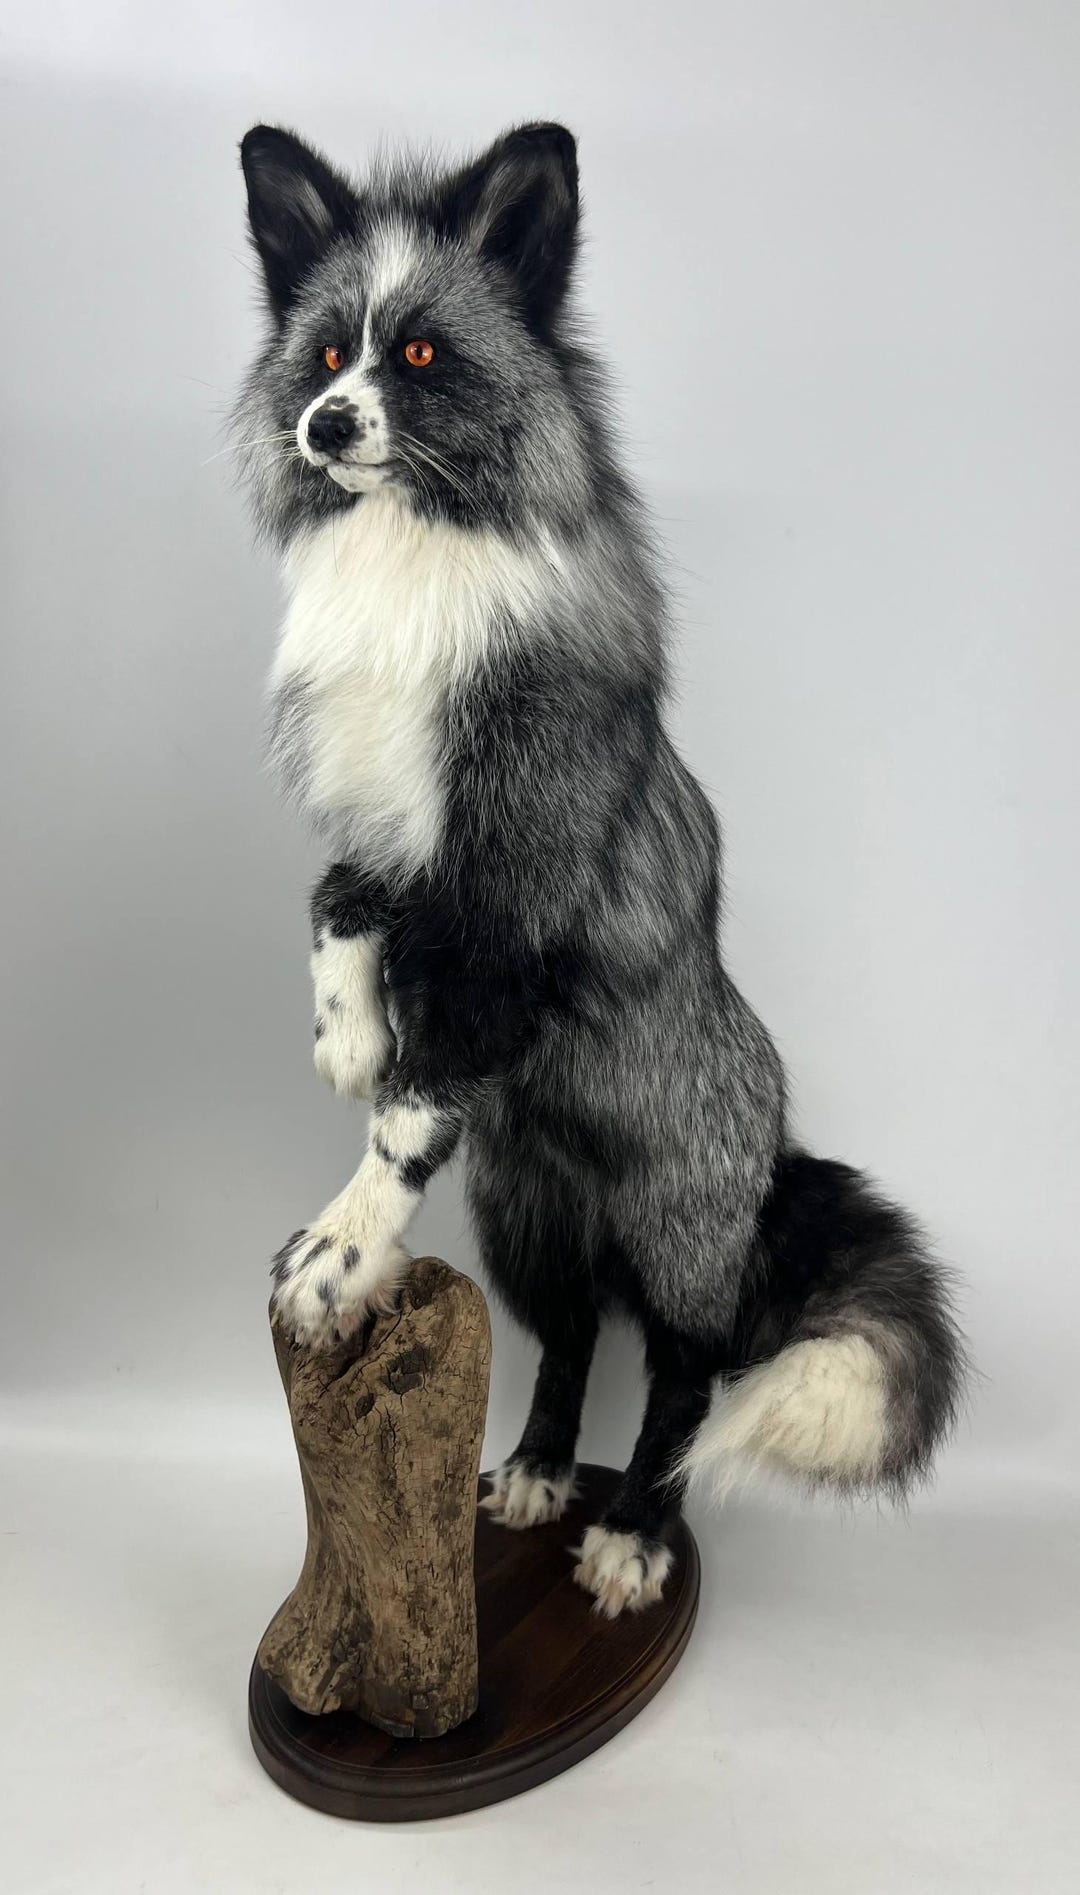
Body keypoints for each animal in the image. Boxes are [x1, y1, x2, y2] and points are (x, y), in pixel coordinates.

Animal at [234, 121, 965, 1616]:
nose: (326, 427)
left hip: (679, 1249)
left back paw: (631, 1530)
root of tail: (775, 1165)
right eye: (329, 352)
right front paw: (347, 1030)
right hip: (529, 1225)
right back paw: (529, 1472)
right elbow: (335, 899)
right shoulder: (402, 848)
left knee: (685, 1381)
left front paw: (341, 1252)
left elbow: (409, 1115)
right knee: (572, 1343)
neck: (414, 563)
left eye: (422, 355)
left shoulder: (510, 899)